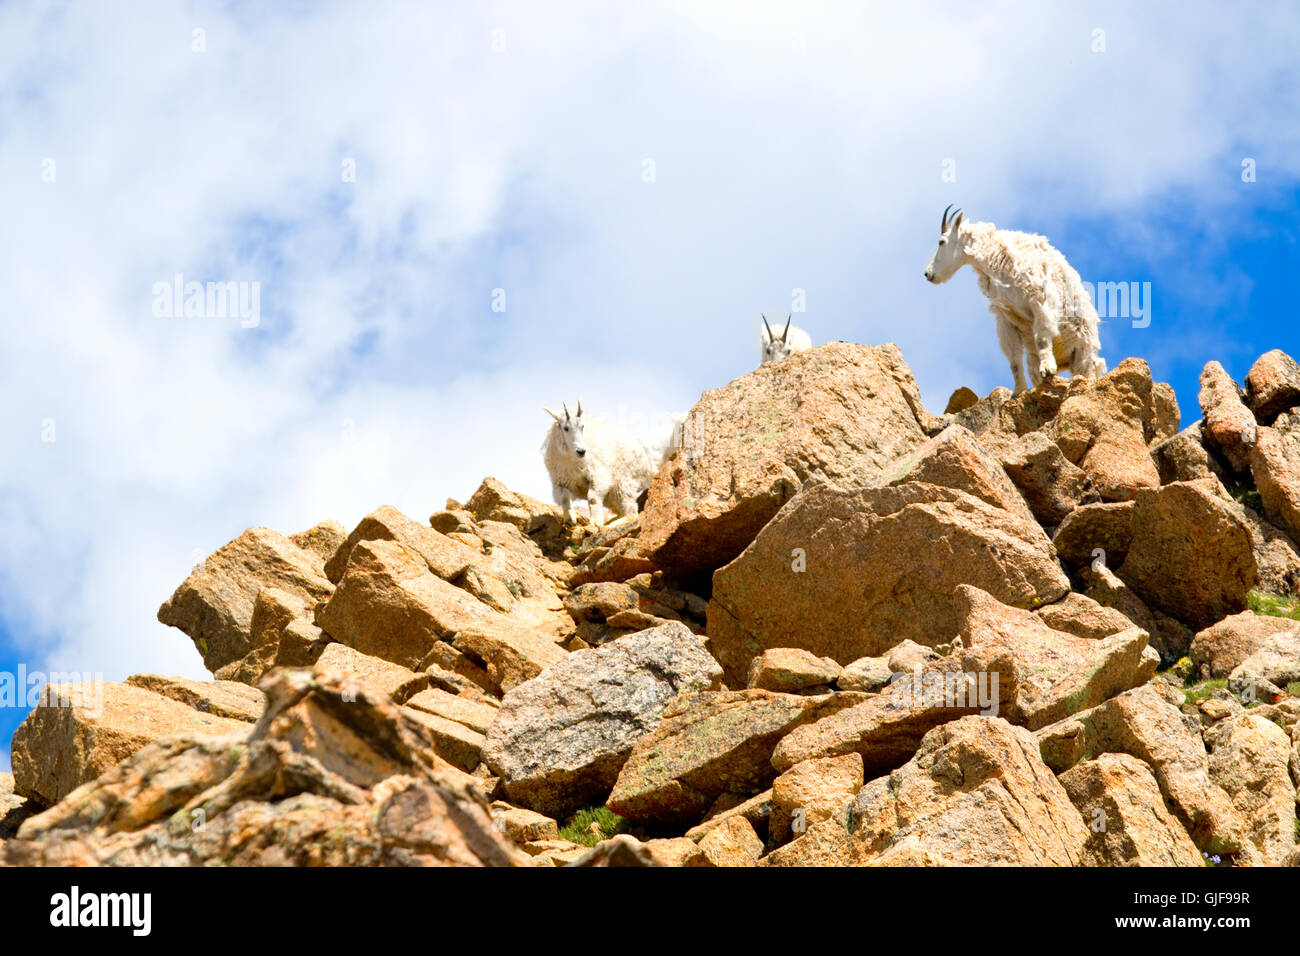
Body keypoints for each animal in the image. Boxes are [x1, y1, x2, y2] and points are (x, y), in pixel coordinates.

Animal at [924, 205, 1106, 393]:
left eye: (941, 242)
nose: (928, 274)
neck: (996, 259)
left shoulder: (1039, 302)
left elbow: (1042, 338)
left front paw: (1047, 368)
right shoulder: (1005, 316)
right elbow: (1014, 359)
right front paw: (1018, 391)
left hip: (1083, 352)